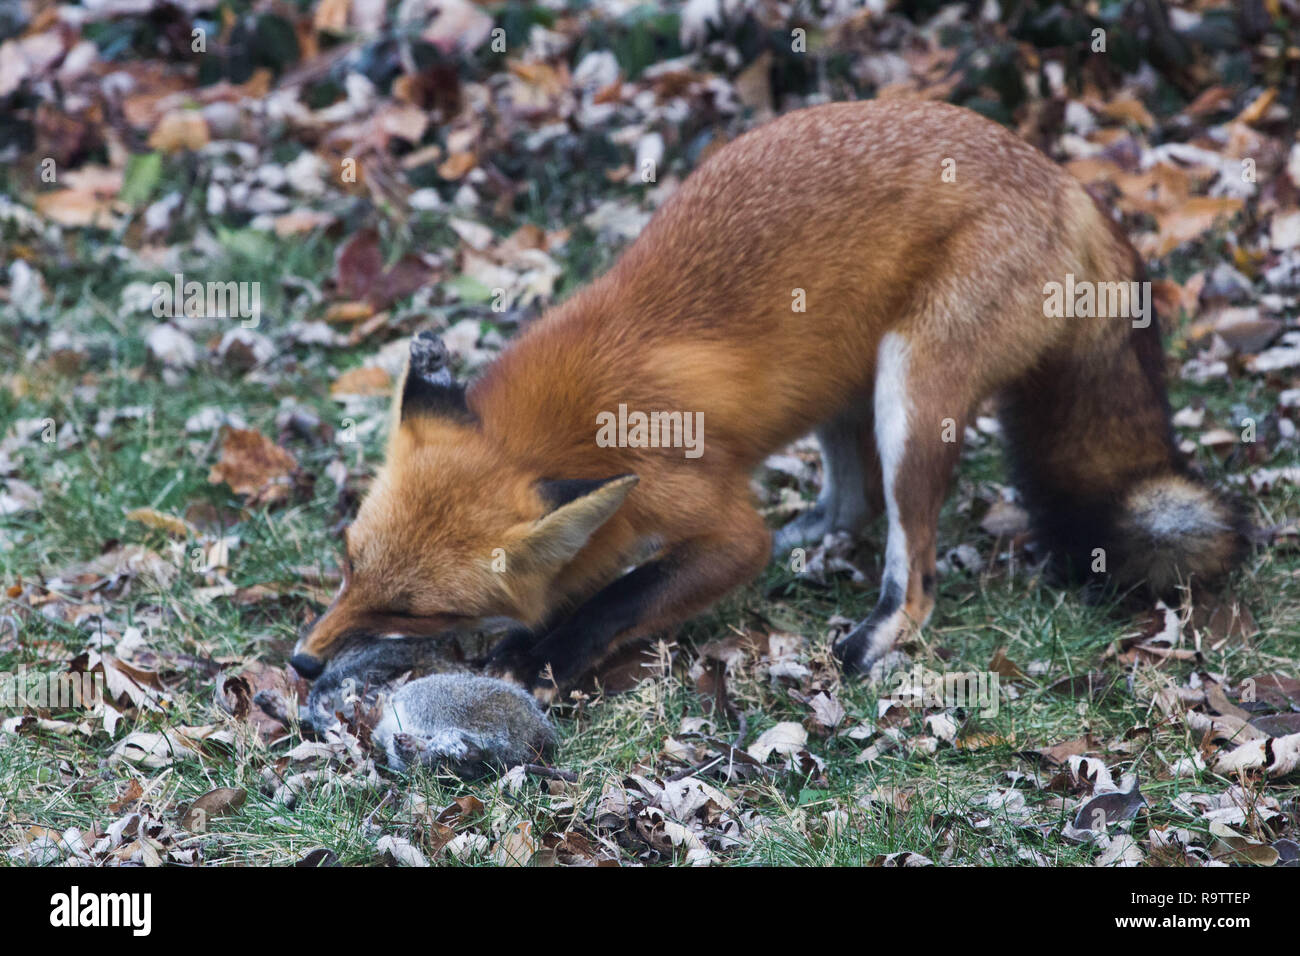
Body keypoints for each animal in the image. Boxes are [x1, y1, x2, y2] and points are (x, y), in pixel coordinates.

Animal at [290, 98, 1248, 700]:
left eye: (414, 611)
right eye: (347, 561)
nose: (300, 665)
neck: (558, 433)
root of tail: (1069, 182)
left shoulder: (703, 515)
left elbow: (629, 595)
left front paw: (550, 656)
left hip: (911, 392)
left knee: (913, 568)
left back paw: (876, 630)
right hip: (841, 387)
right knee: (851, 506)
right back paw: (807, 540)